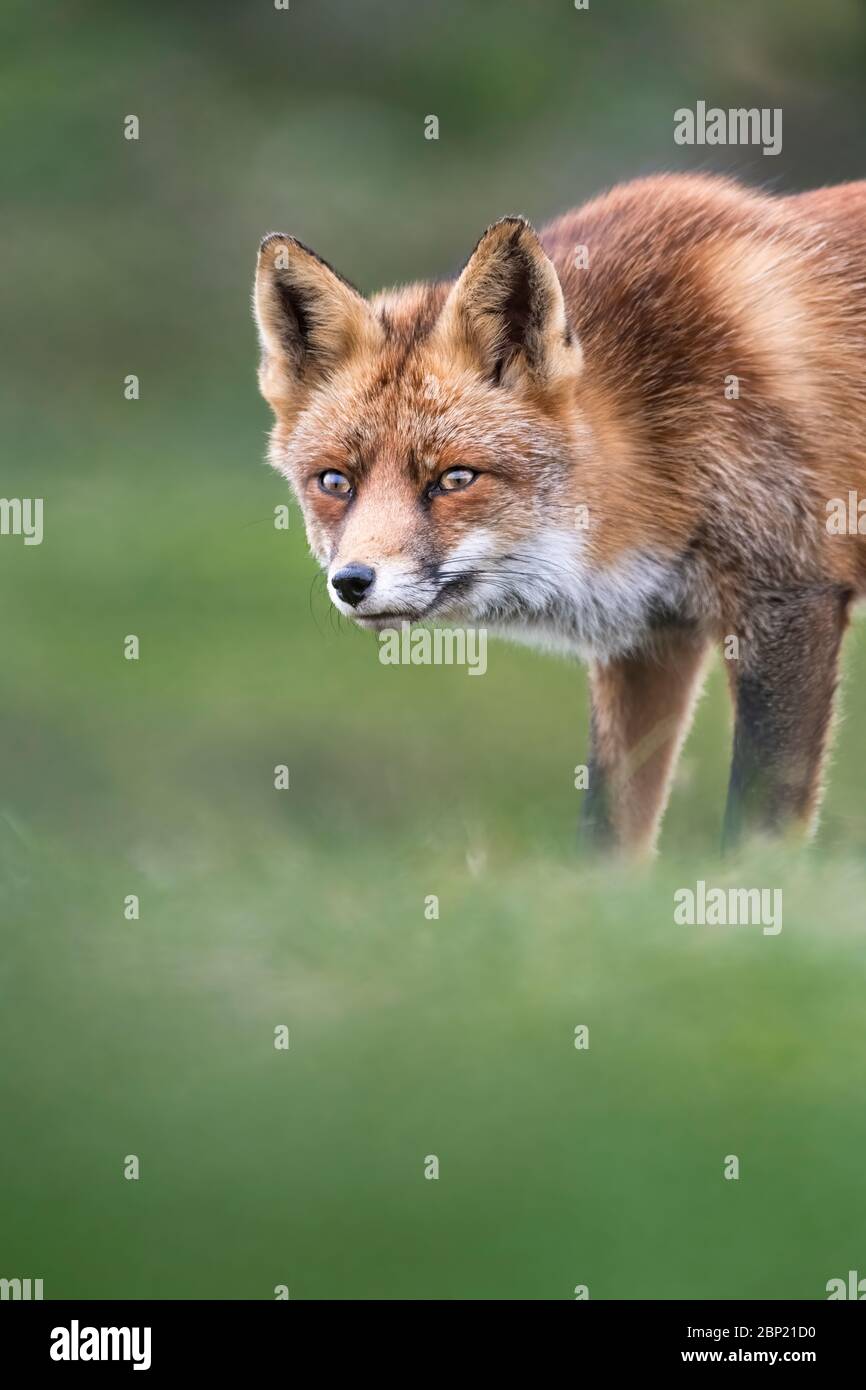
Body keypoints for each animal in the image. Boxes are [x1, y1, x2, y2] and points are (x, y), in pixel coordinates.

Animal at [253, 172, 866, 857]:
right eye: (335, 482)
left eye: (455, 478)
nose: (353, 582)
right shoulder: (651, 636)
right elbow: (609, 828)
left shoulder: (788, 597)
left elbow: (759, 825)